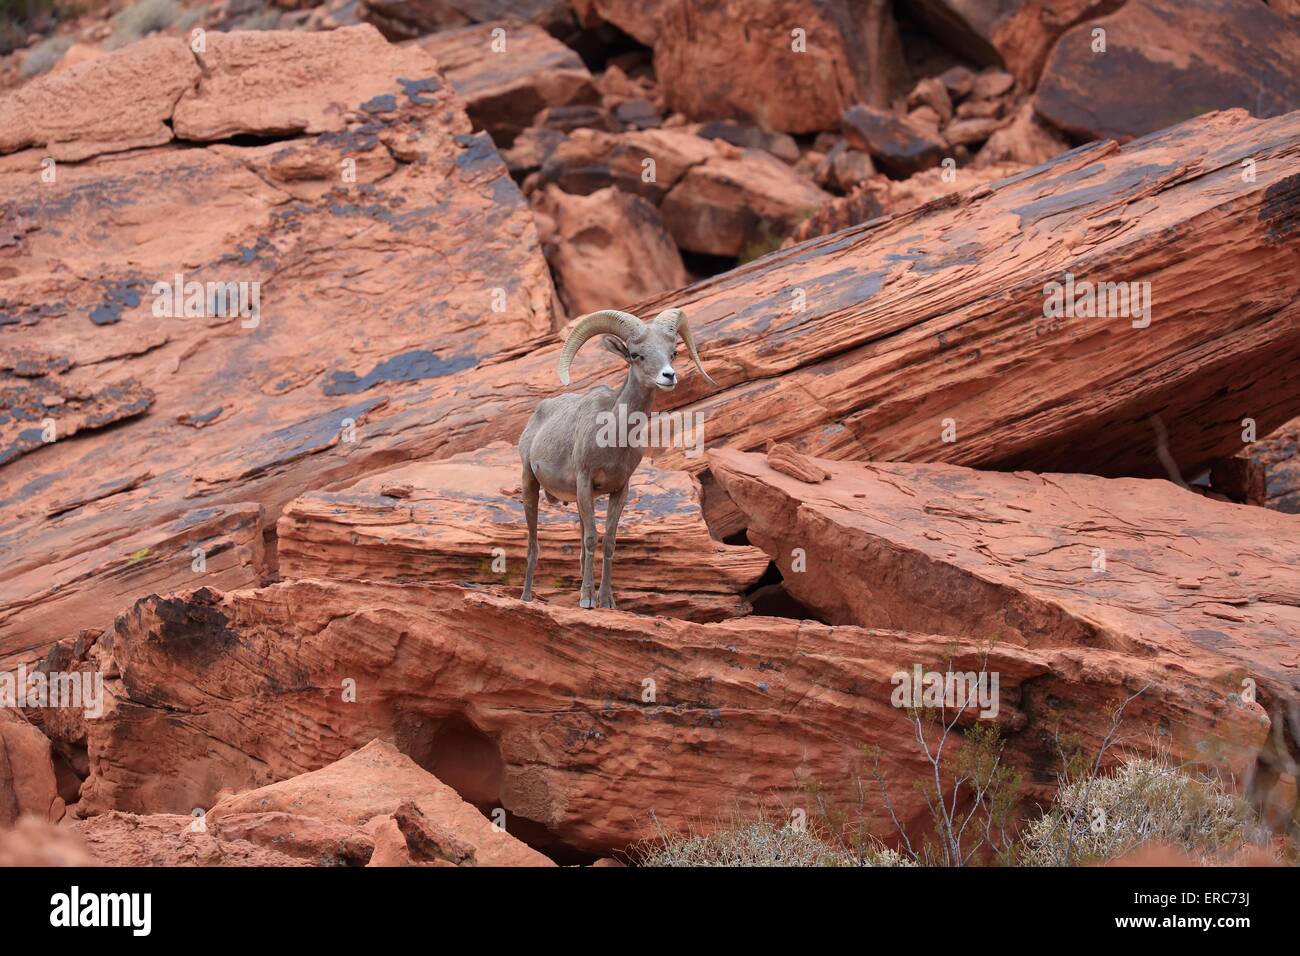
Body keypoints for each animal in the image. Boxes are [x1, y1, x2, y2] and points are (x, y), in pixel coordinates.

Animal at [519, 307, 717, 609]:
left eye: (672, 352)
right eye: (636, 354)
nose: (668, 376)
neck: (613, 435)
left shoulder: (619, 489)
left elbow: (609, 541)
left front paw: (607, 601)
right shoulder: (585, 481)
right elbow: (592, 538)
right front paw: (587, 600)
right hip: (530, 483)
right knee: (533, 544)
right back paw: (527, 597)